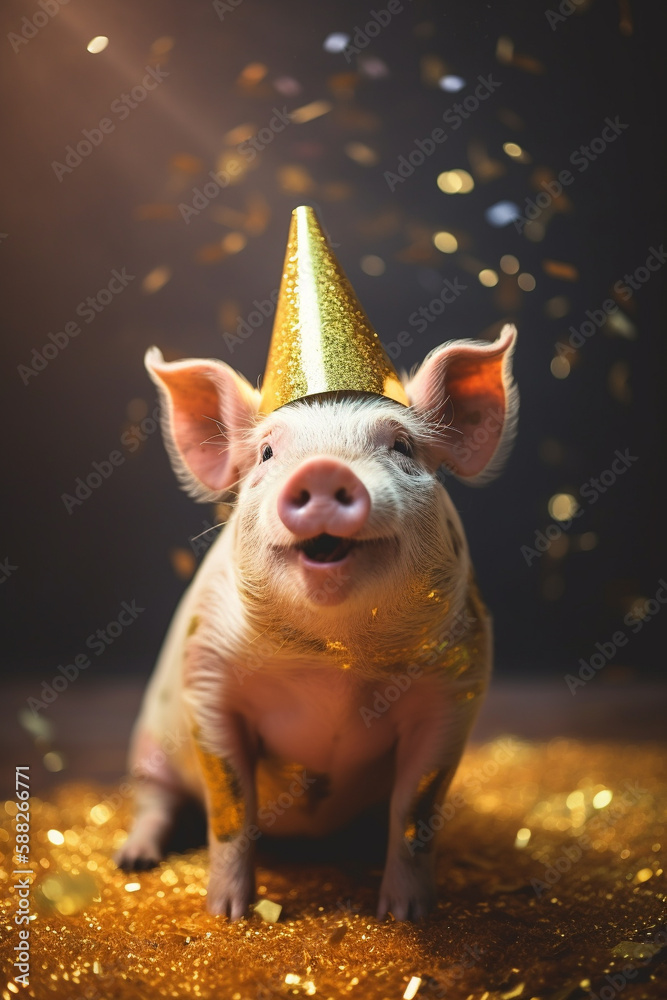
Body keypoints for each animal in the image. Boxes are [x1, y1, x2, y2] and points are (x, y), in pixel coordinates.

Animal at [116, 323, 518, 921]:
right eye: (266, 452)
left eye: (402, 446)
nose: (324, 469)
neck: (334, 660)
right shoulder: (206, 678)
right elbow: (231, 807)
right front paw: (229, 915)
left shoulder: (457, 685)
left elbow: (416, 812)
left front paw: (405, 914)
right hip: (148, 741)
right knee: (155, 800)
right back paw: (133, 861)